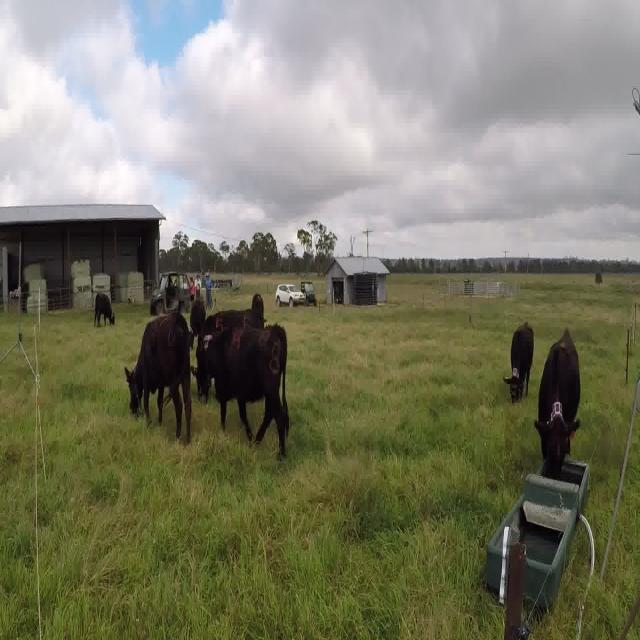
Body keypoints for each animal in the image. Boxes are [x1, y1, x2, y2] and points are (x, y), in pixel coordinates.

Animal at [124, 312, 192, 442]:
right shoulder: (161, 383)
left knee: (179, 405)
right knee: (188, 404)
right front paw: (160, 422)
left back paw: (177, 436)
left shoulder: (146, 380)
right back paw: (188, 438)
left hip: (173, 382)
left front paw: (148, 423)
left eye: (130, 387)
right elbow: (159, 401)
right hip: (186, 376)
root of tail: (177, 318)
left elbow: (145, 401)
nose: (131, 408)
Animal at [200, 324, 289, 458]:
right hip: (271, 392)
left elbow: (226, 414)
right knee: (270, 413)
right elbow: (242, 415)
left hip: (271, 390)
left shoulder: (224, 390)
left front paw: (224, 433)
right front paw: (250, 438)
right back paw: (257, 440)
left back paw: (281, 453)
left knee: (279, 416)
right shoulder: (239, 395)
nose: (201, 396)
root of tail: (275, 329)